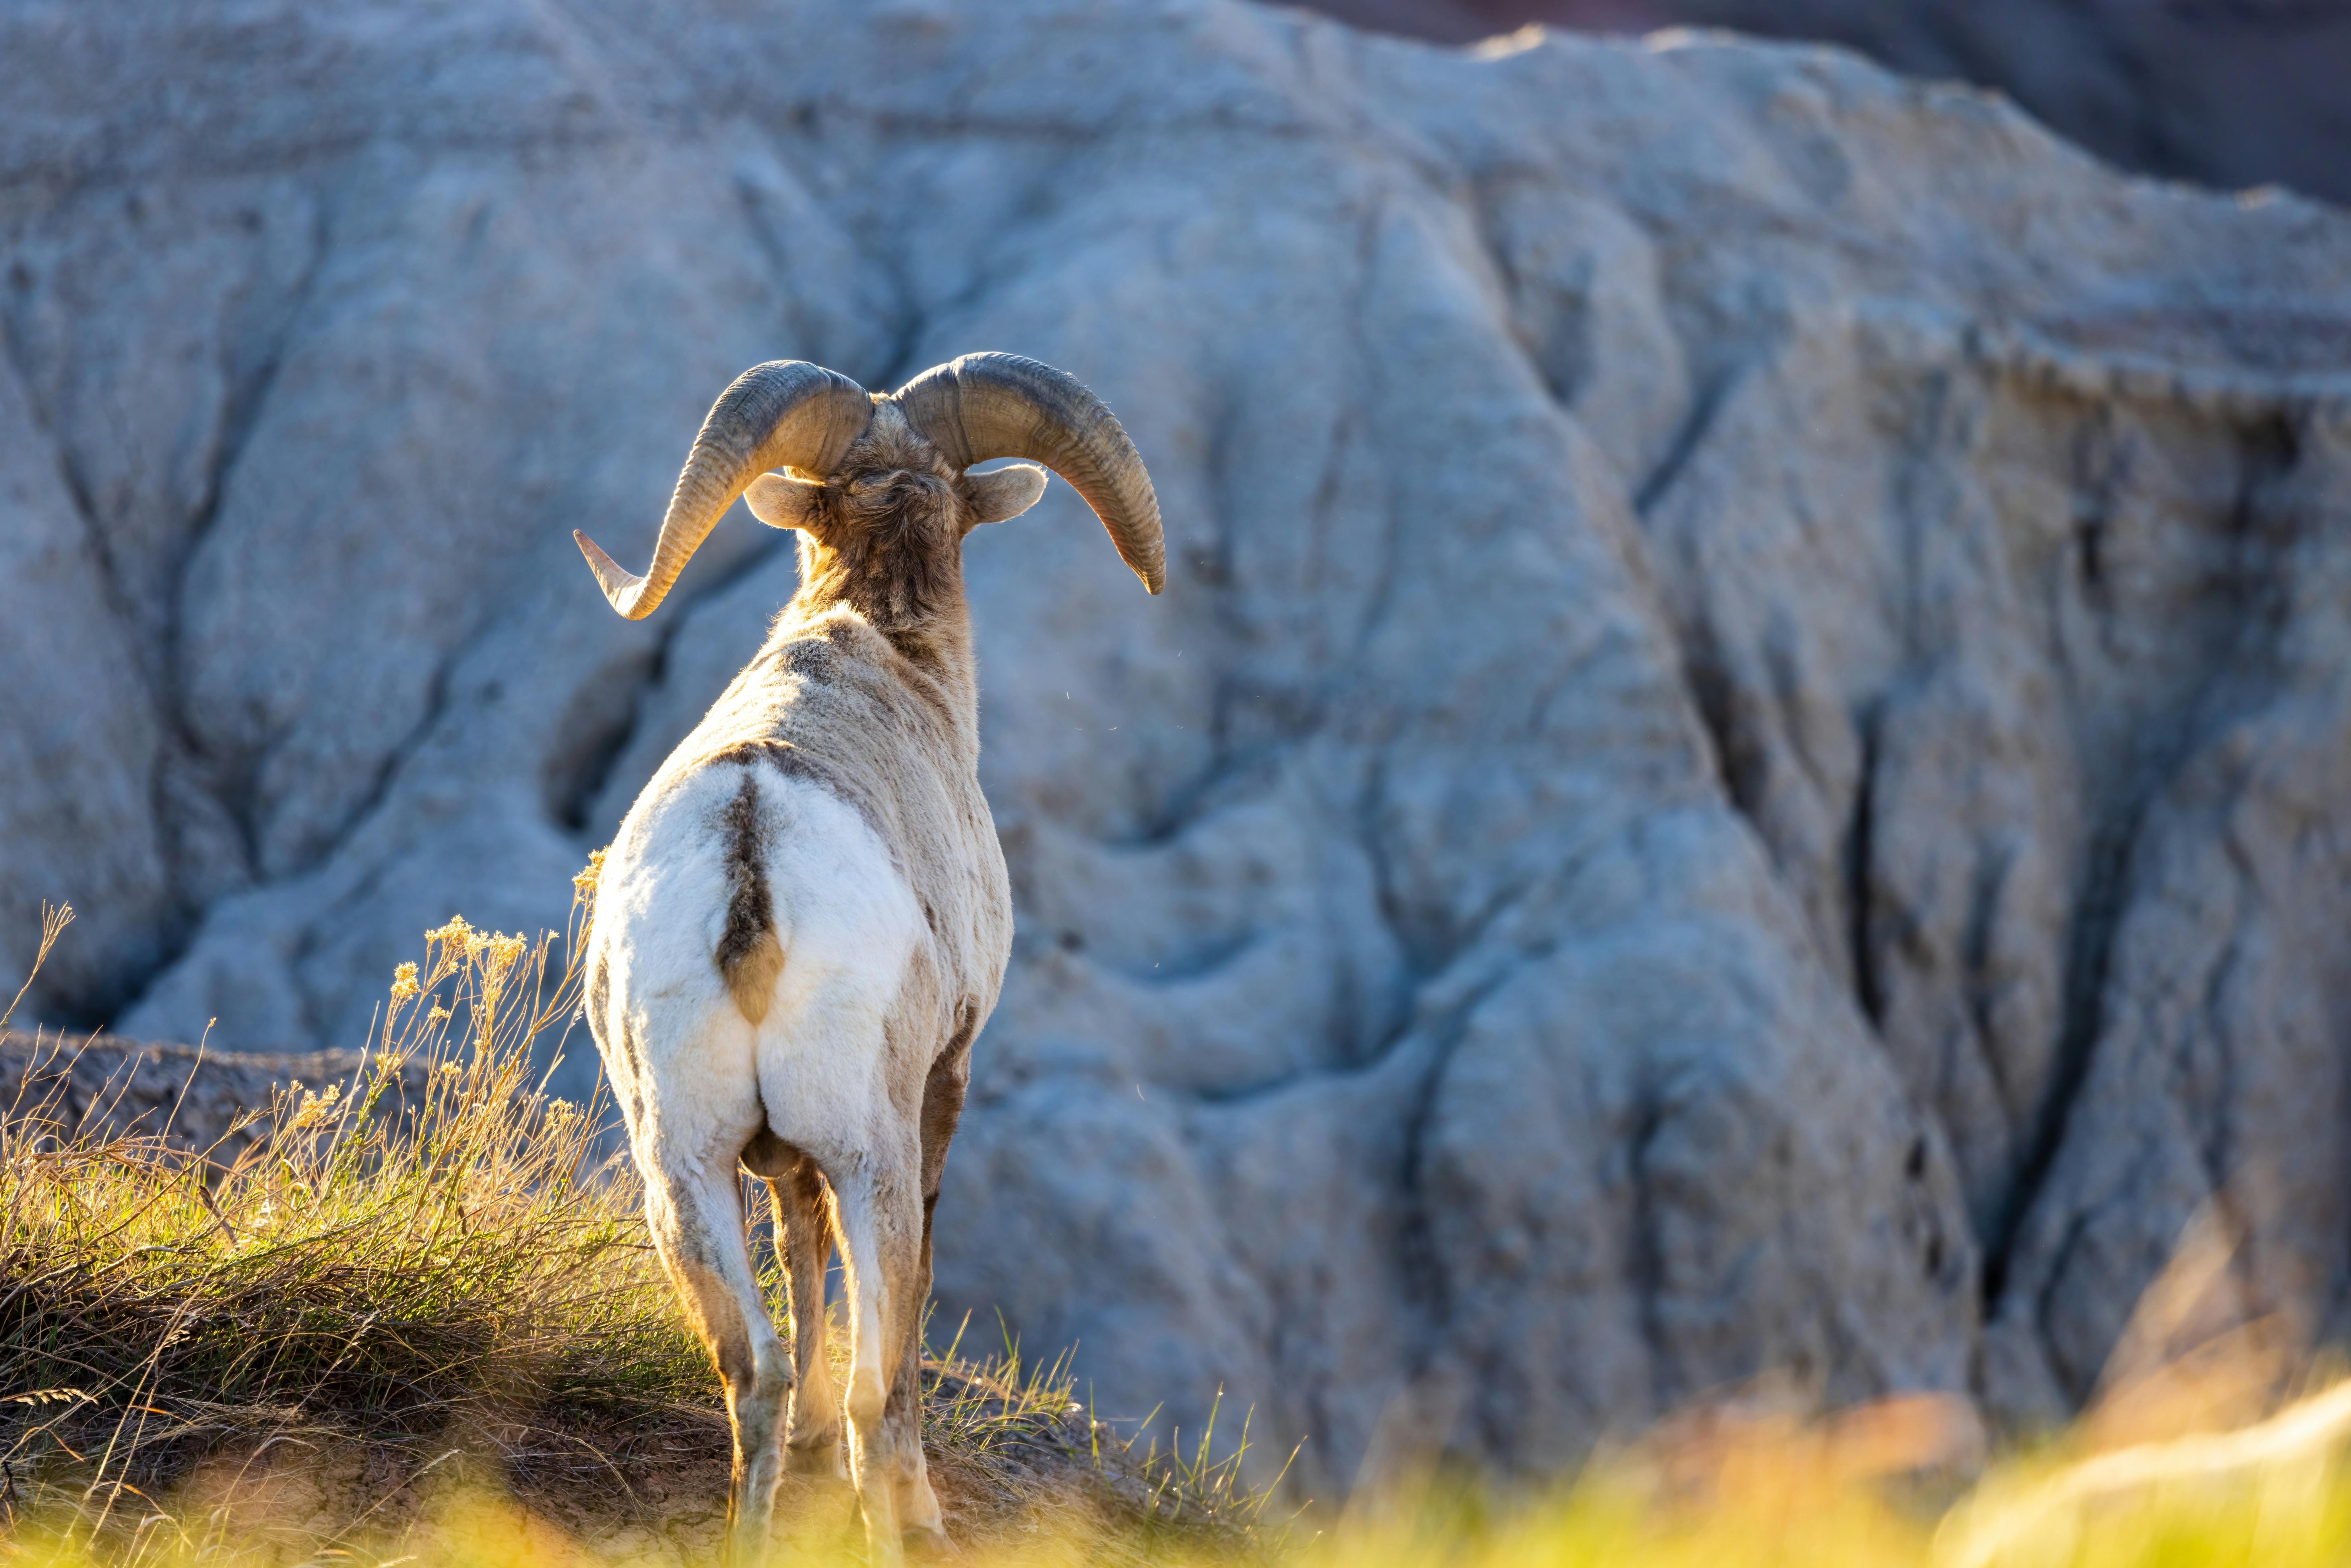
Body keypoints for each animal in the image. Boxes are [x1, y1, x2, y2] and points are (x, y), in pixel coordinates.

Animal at [573, 354, 1162, 1566]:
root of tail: (747, 847)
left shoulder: (771, 1158)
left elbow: (797, 1262)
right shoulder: (946, 1077)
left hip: (679, 1168)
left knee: (754, 1371)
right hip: (869, 1156)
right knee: (870, 1380)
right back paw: (905, 1516)